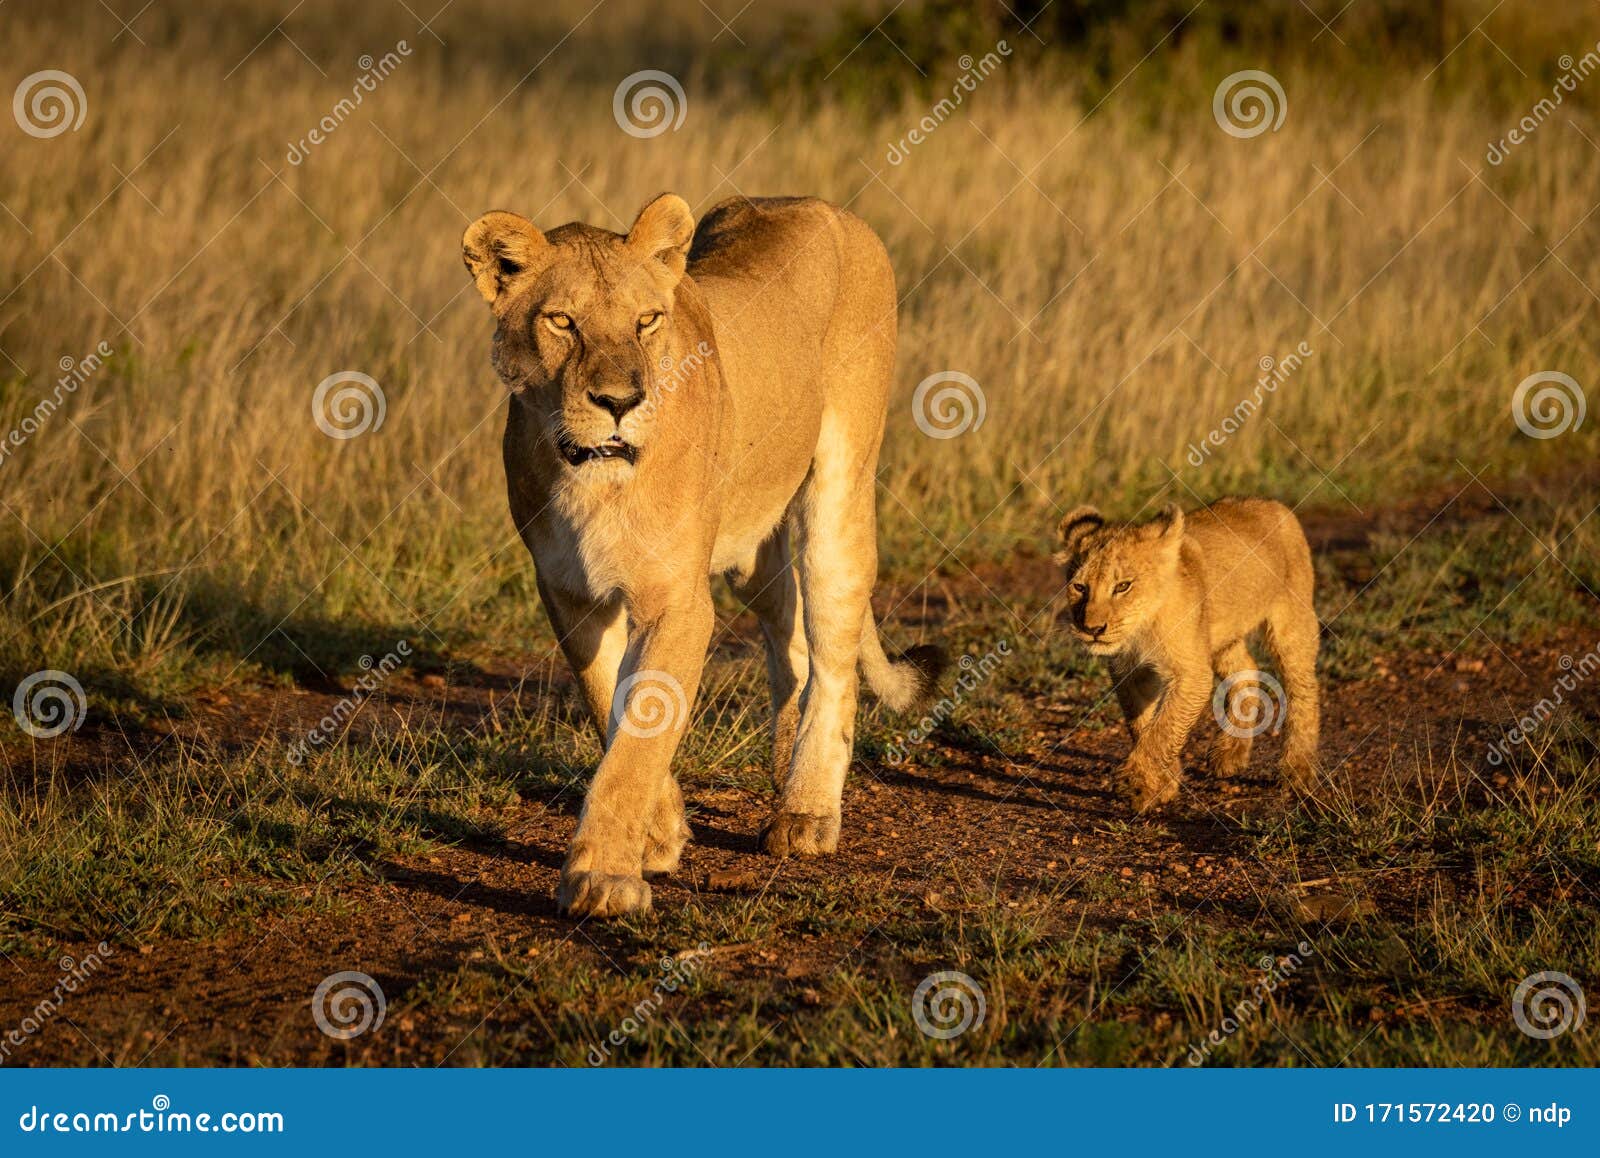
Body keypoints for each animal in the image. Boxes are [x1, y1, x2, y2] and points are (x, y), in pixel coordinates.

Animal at [462, 193, 943, 917]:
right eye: (562, 322)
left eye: (646, 320)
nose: (619, 402)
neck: (592, 478)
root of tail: (824, 205)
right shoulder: (568, 594)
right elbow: (612, 705)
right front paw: (658, 837)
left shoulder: (678, 601)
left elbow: (640, 727)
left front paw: (602, 875)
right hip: (749, 551)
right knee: (791, 636)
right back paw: (782, 766)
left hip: (839, 492)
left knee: (834, 652)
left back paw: (806, 812)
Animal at [1052, 498, 1321, 812]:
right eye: (1079, 587)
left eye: (1123, 586)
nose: (1092, 629)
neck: (1142, 625)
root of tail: (1273, 503)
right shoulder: (1130, 673)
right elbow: (1143, 726)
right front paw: (1164, 784)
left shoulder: (1191, 673)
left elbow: (1163, 729)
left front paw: (1136, 783)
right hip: (1220, 637)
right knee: (1247, 670)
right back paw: (1229, 754)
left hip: (1291, 622)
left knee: (1304, 689)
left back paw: (1297, 770)